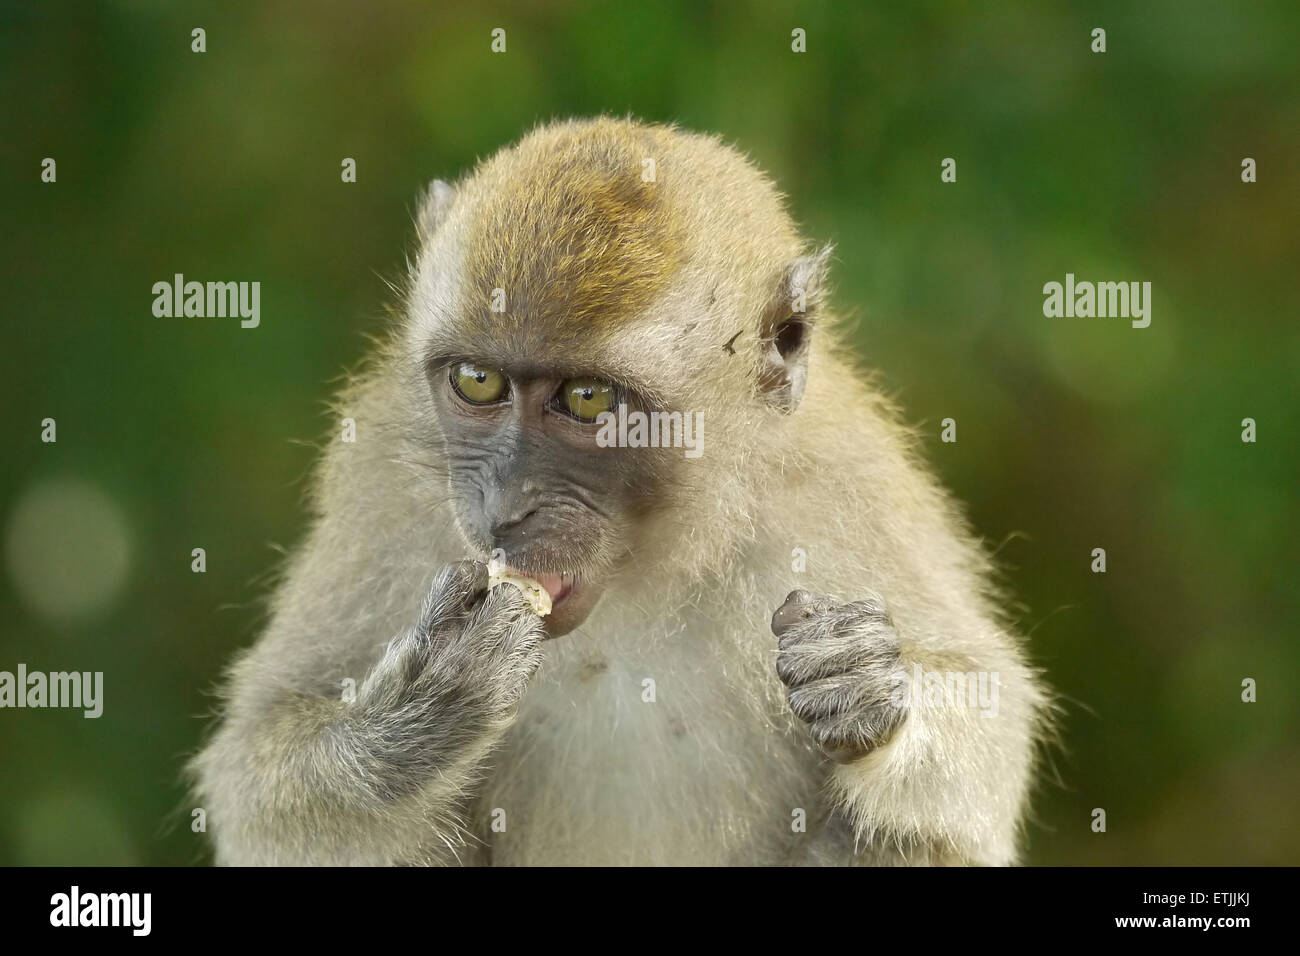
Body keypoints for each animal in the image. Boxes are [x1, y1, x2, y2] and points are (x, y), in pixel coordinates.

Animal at [190, 116, 1049, 866]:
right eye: (477, 381)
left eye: (588, 400)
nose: (505, 508)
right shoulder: (382, 482)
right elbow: (255, 763)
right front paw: (418, 708)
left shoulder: (848, 485)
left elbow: (988, 722)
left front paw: (864, 684)